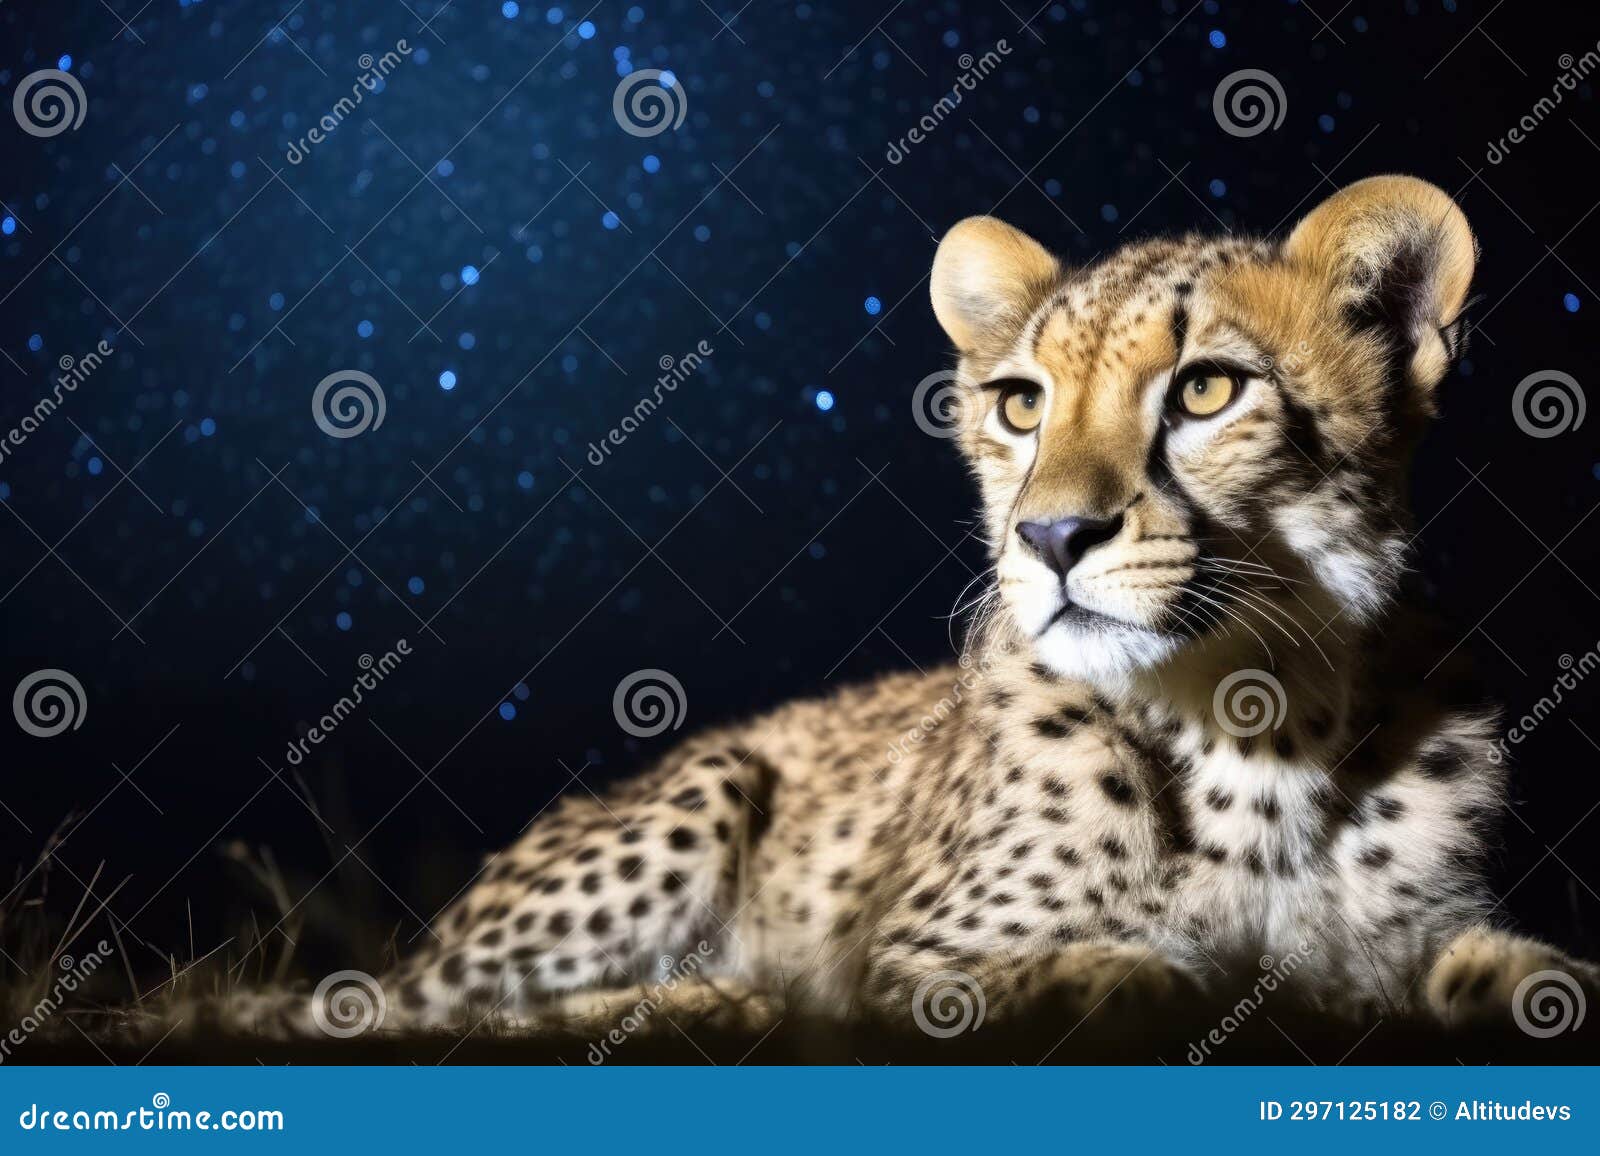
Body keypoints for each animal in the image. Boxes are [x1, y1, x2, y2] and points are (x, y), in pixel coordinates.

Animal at [215, 175, 1598, 1046]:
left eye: (1207, 389)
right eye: (1021, 404)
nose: (1051, 537)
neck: (1259, 722)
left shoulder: (1403, 939)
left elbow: (1495, 967)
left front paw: (1528, 976)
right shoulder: (910, 963)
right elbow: (1087, 972)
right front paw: (1141, 972)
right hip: (704, 782)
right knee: (414, 1015)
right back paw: (712, 1002)